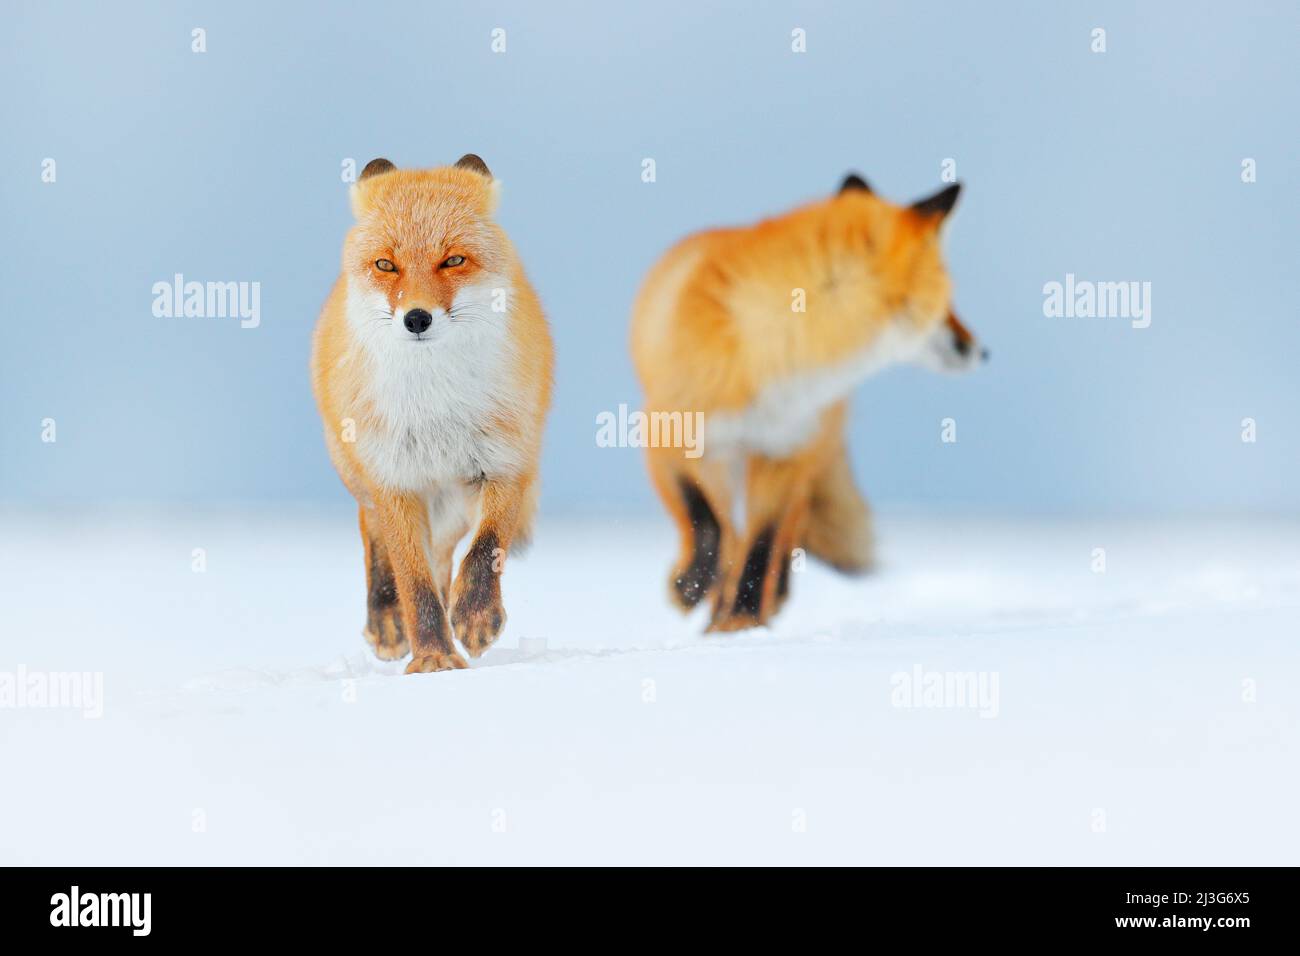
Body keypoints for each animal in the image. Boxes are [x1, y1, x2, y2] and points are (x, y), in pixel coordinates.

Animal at [311, 155, 553, 673]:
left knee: (445, 558)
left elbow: (486, 550)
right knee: (375, 536)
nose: (417, 318)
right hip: (367, 478)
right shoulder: (395, 480)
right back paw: (387, 620)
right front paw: (433, 658)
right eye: (386, 264)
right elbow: (413, 580)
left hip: (451, 505)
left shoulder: (506, 462)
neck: (434, 408)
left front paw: (476, 618)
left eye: (453, 260)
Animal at [630, 172, 985, 632]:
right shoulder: (666, 436)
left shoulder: (786, 452)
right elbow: (702, 519)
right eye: (947, 300)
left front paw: (742, 620)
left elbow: (762, 547)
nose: (982, 351)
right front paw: (692, 586)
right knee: (727, 529)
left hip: (802, 458)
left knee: (777, 539)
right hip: (724, 462)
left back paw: (762, 602)